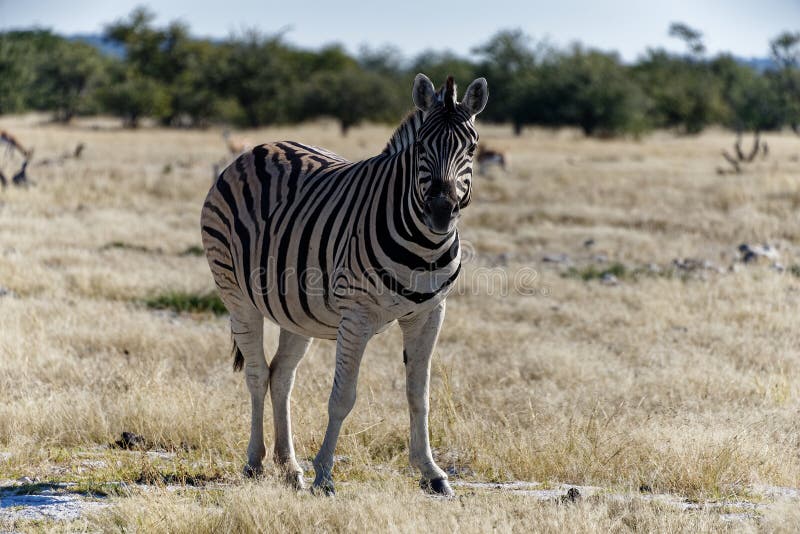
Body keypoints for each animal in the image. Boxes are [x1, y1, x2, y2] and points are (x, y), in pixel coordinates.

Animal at [201, 73, 488, 496]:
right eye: (421, 145)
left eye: (472, 147)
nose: (440, 210)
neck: (424, 243)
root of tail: (259, 147)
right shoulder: (357, 315)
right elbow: (342, 397)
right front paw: (324, 475)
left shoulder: (430, 313)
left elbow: (419, 395)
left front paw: (432, 473)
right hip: (237, 296)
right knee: (256, 375)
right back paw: (255, 462)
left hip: (294, 308)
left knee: (281, 376)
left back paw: (290, 467)